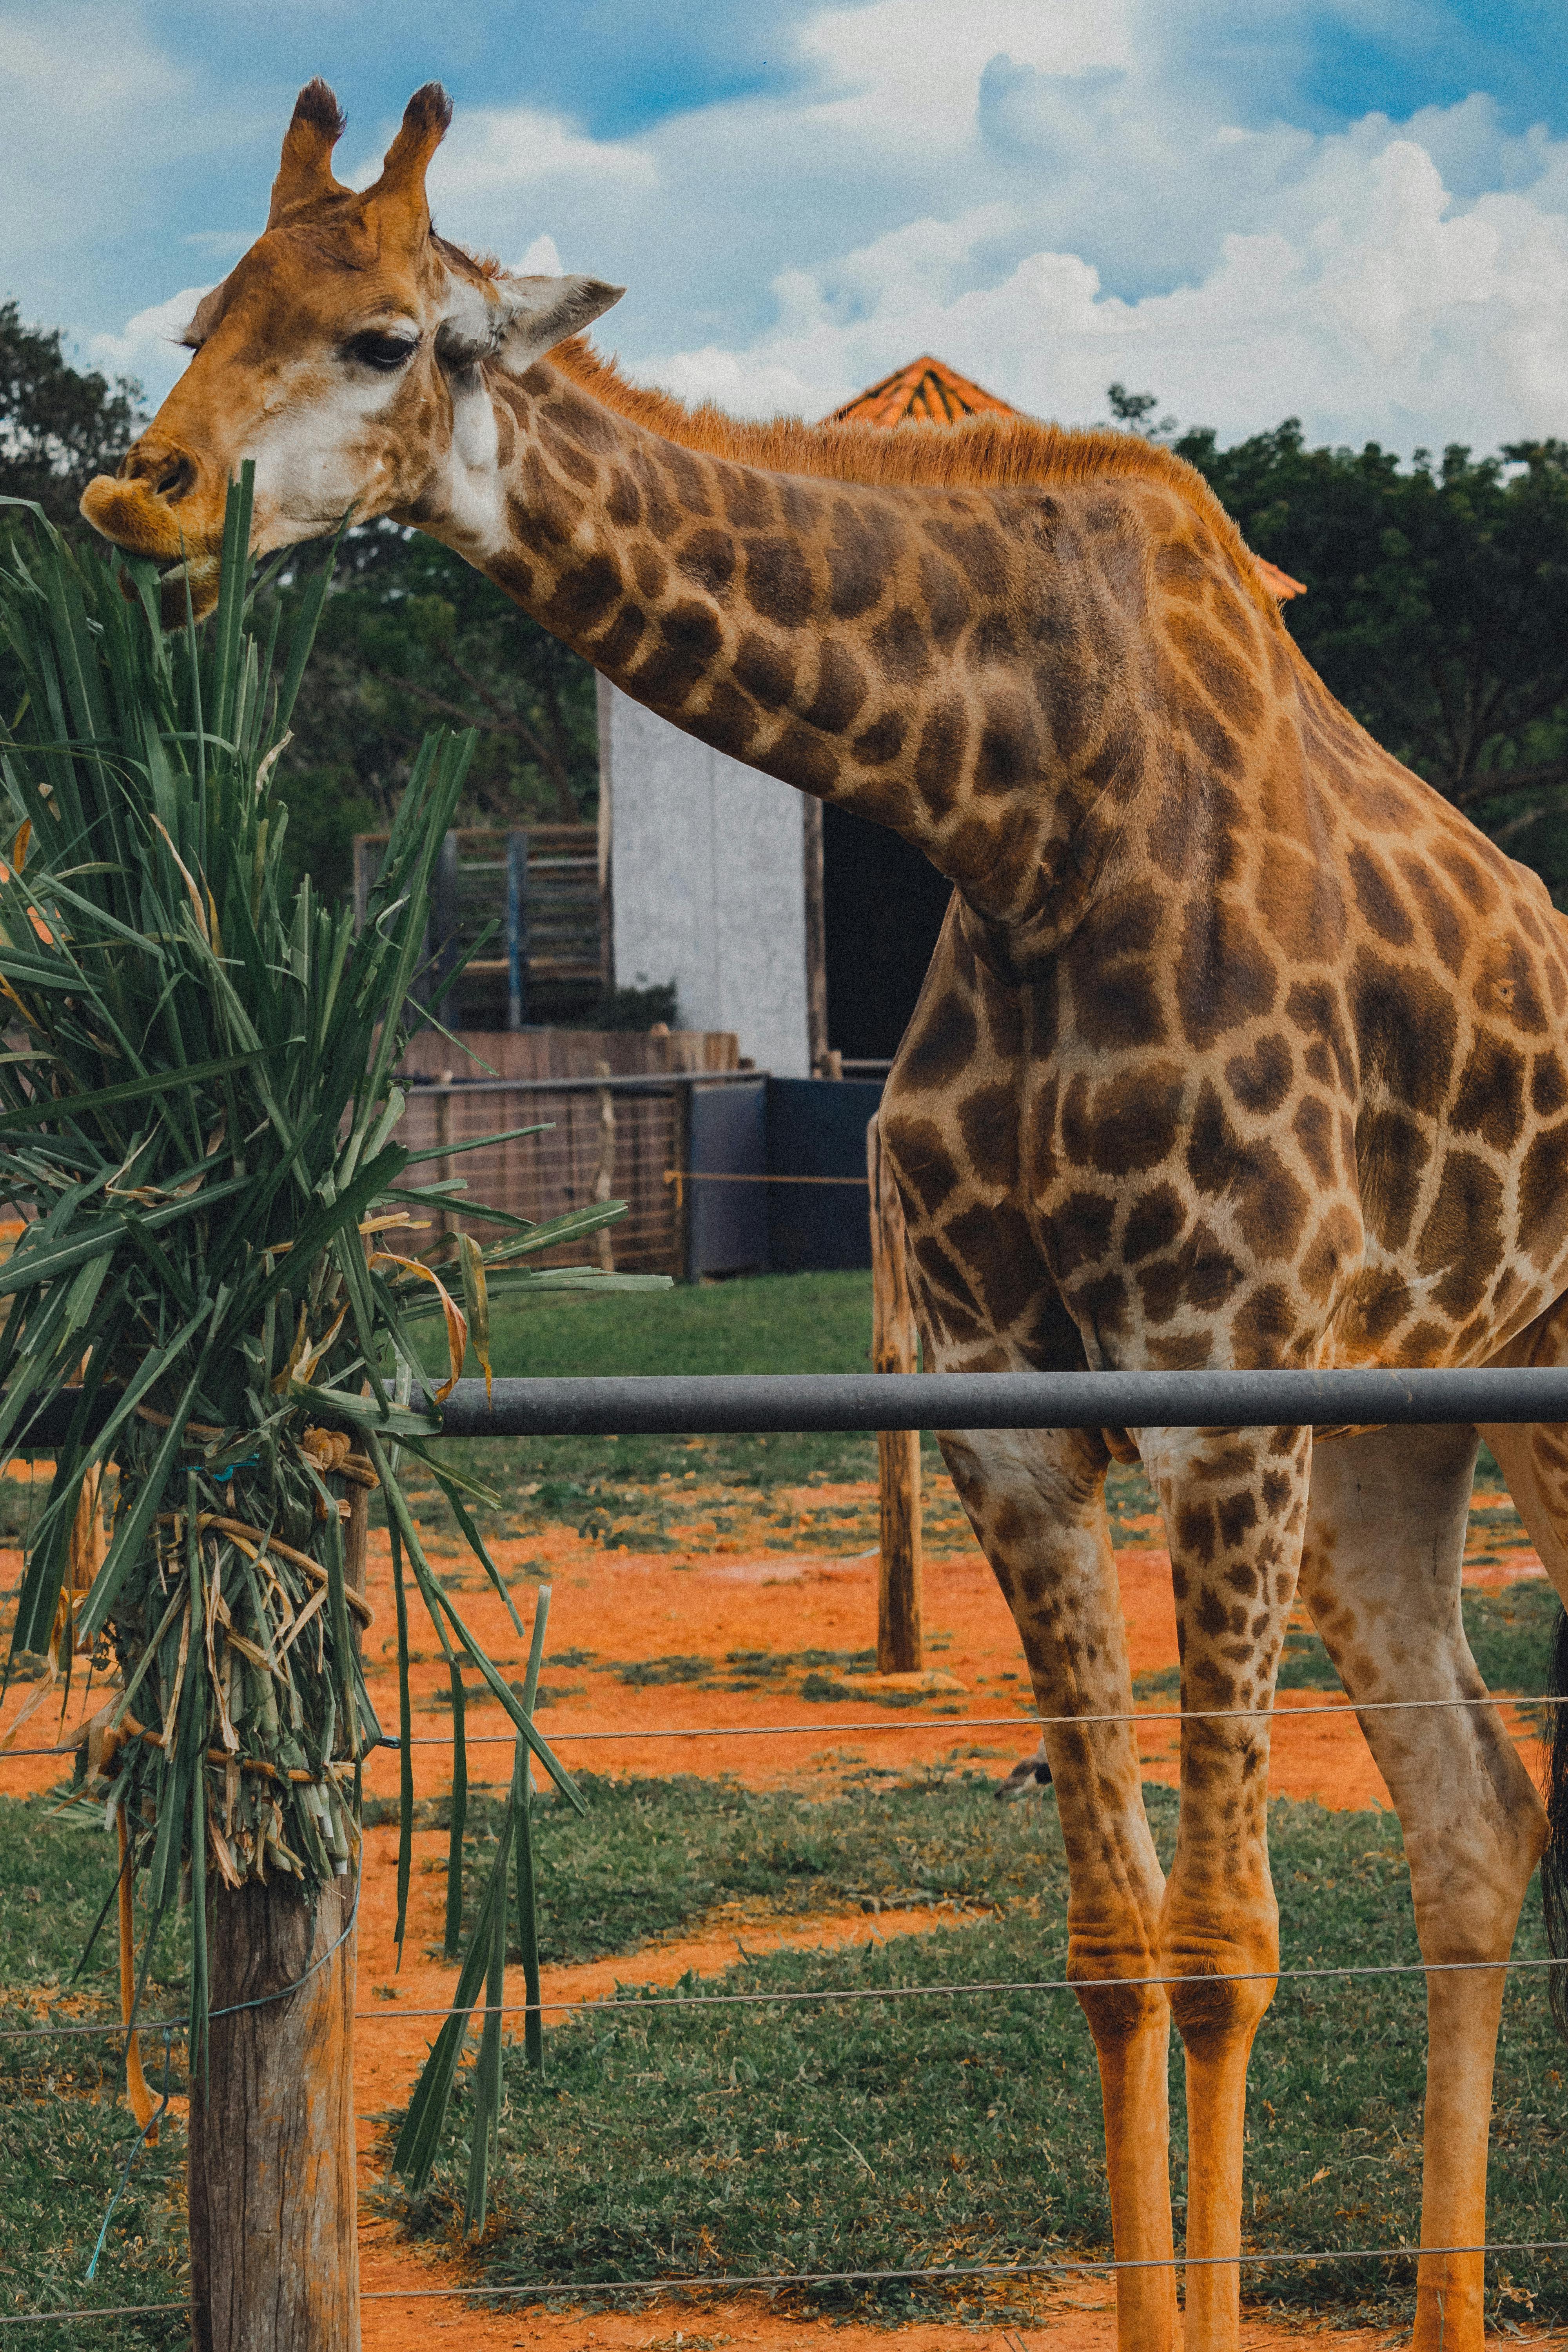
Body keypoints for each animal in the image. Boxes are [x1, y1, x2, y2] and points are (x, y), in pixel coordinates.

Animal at [80, 80, 1568, 2352]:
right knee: (1477, 1807)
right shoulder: (1012, 1425)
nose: (135, 493)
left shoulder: (1223, 1399)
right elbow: (1115, 1940)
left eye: (386, 337)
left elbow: (1226, 1941)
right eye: (202, 315)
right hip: (1403, 1428)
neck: (1031, 814)